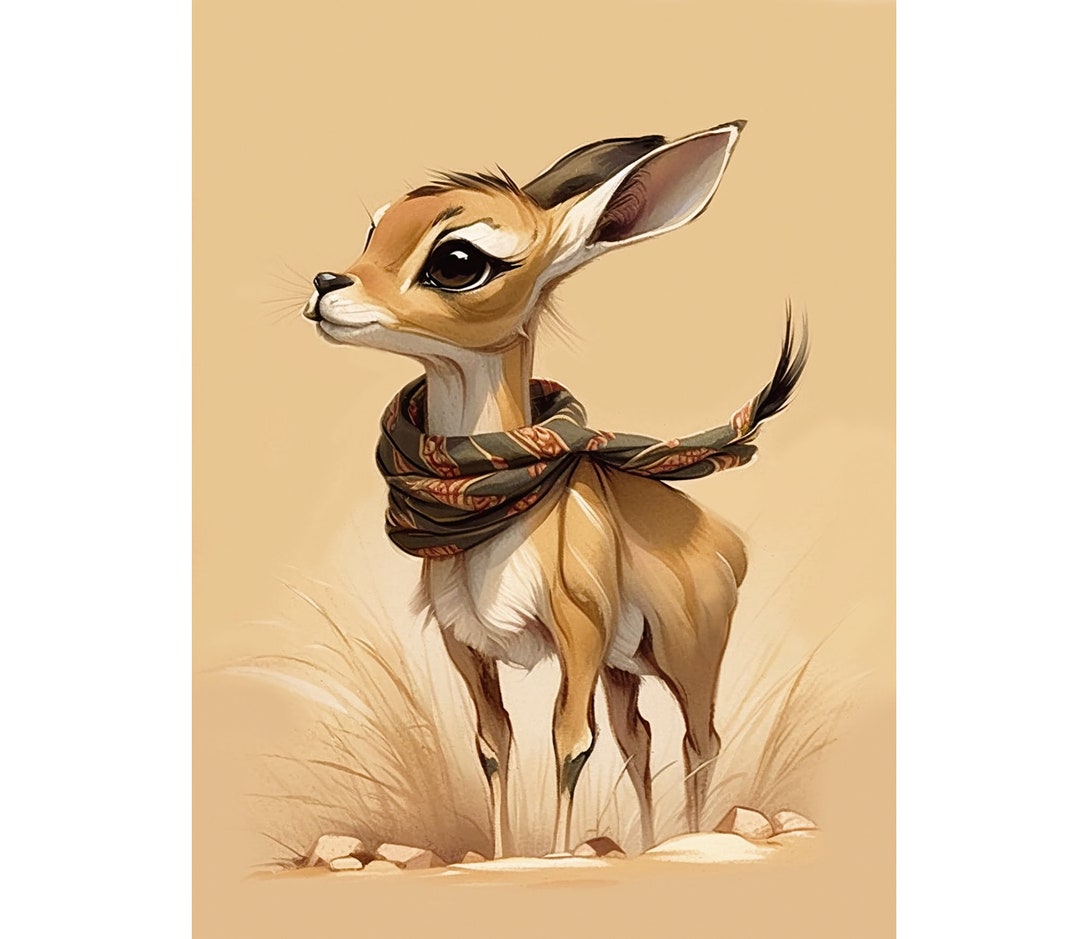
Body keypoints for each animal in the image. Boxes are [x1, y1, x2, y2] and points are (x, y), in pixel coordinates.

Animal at [301, 121, 807, 858]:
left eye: (457, 258)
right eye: (376, 227)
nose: (325, 284)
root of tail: (727, 542)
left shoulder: (579, 632)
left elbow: (570, 741)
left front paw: (559, 855)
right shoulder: (466, 644)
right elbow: (494, 744)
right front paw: (503, 852)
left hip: (688, 654)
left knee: (700, 738)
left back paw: (688, 835)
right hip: (627, 664)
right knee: (638, 736)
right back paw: (648, 838)